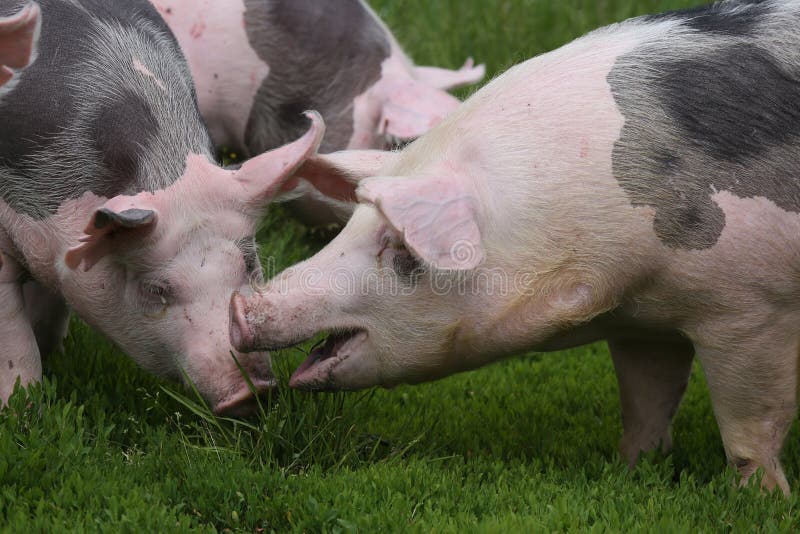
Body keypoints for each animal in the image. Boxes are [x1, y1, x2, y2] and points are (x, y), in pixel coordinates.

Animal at [0, 0, 324, 416]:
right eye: (156, 289)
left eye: (250, 264)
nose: (252, 391)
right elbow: (15, 342)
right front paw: (23, 409)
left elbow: (49, 314)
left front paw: (51, 353)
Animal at [231, 0, 800, 493]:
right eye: (351, 226)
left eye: (399, 247)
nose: (239, 306)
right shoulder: (644, 322)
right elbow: (646, 404)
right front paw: (632, 473)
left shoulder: (750, 311)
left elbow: (748, 427)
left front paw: (759, 500)